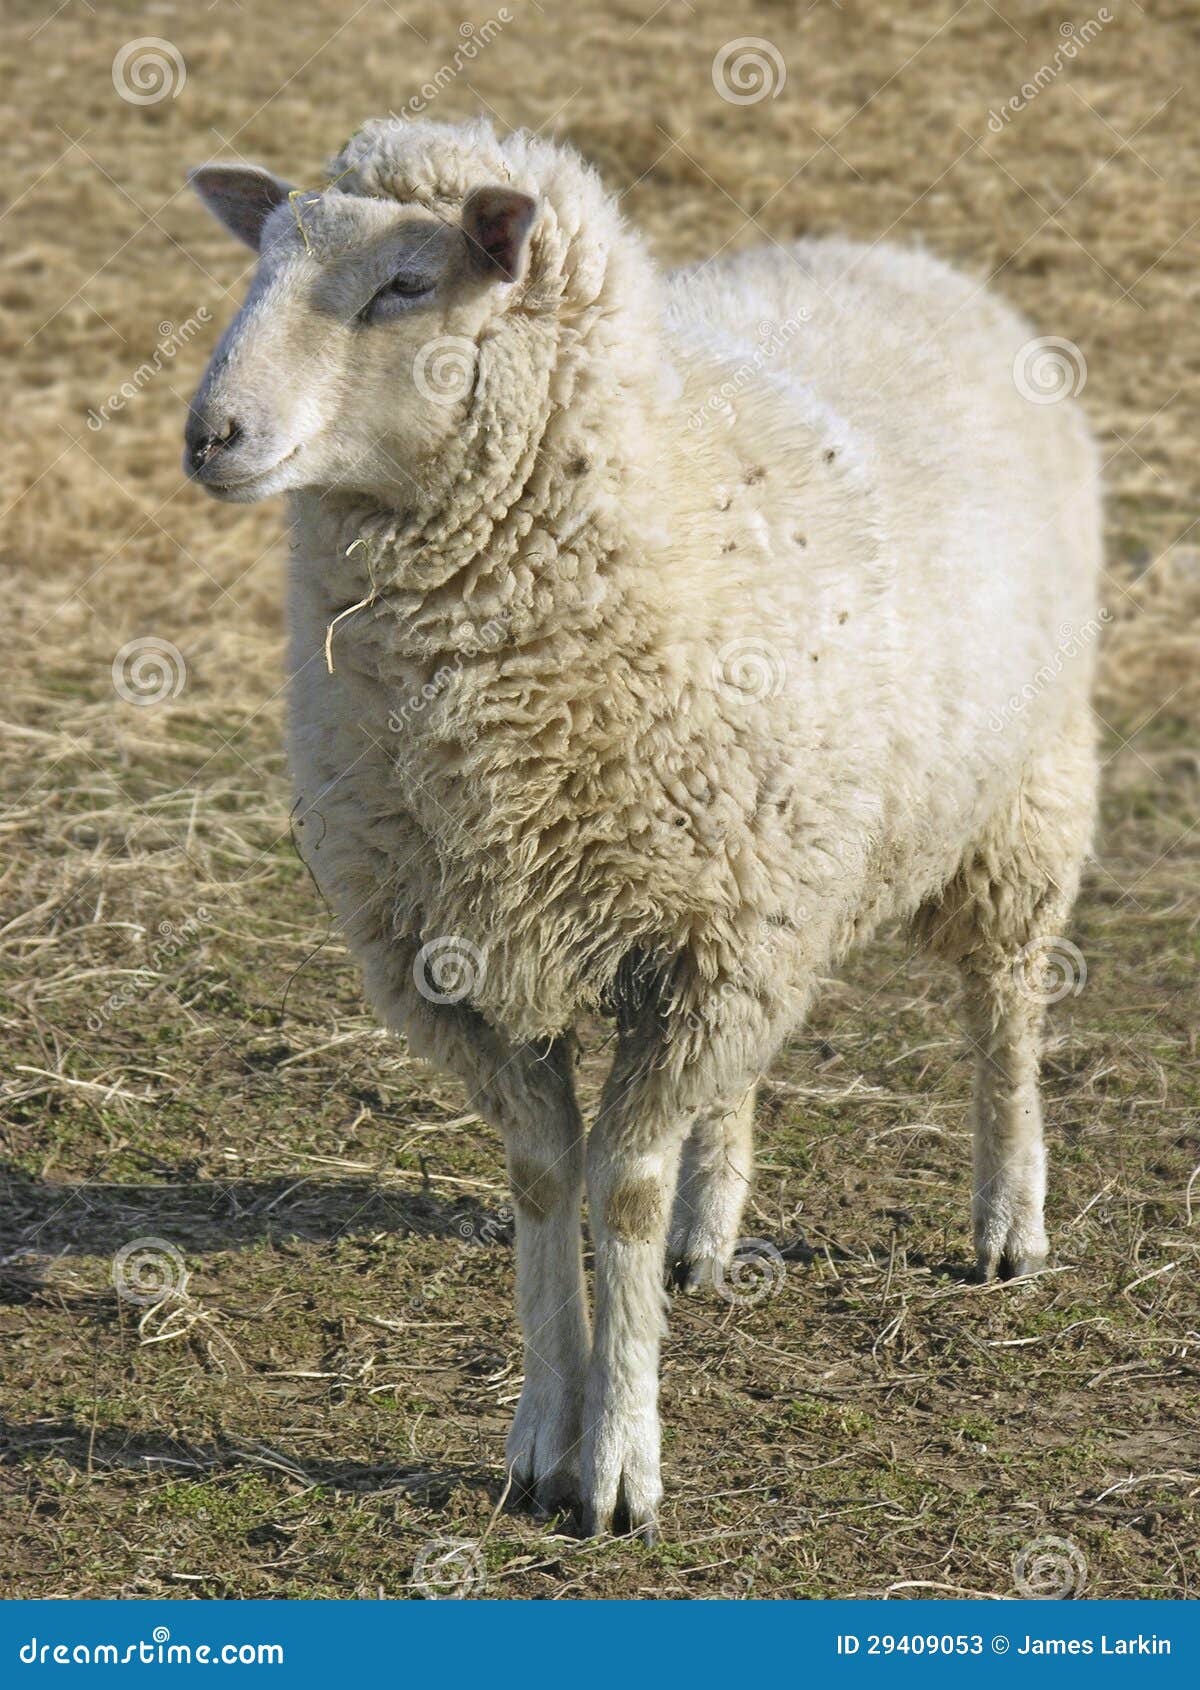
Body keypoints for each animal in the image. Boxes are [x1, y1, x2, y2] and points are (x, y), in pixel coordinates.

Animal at [184, 116, 1100, 1542]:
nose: (210, 433)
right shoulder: (481, 951)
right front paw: (538, 1438)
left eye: (406, 286)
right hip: (775, 879)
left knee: (1005, 1008)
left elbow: (618, 1184)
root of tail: (896, 253)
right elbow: (543, 1178)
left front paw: (619, 1464)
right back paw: (708, 1230)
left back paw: (1008, 1219)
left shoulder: (707, 942)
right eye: (263, 256)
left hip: (1021, 794)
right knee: (739, 1089)